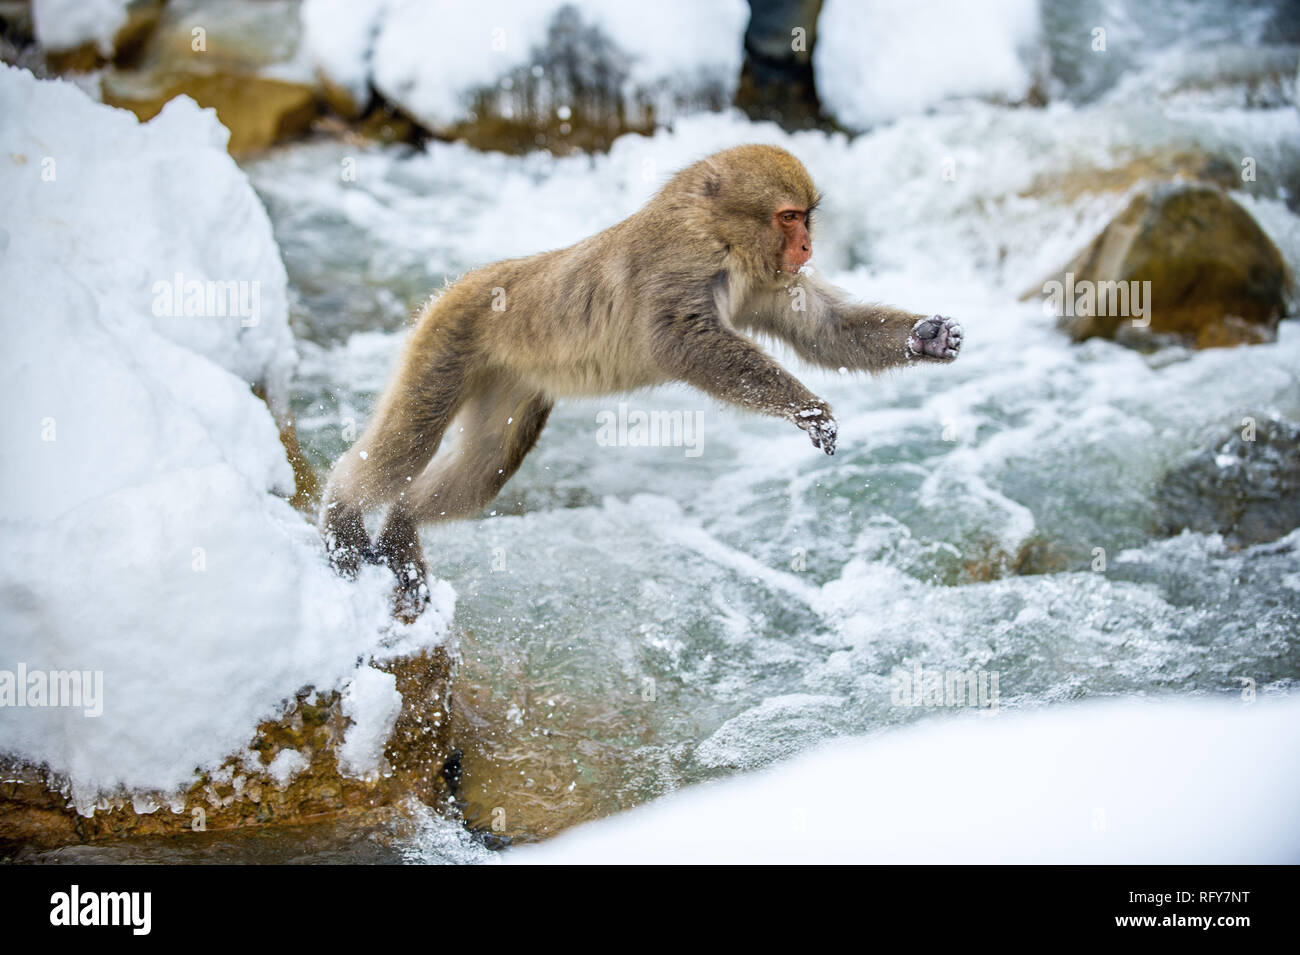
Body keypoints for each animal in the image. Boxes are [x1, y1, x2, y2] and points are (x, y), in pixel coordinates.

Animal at [319, 144, 962, 618]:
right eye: (789, 216)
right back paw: (342, 520)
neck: (719, 234)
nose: (807, 246)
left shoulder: (768, 279)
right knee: (408, 441)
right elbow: (678, 343)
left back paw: (401, 528)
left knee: (489, 464)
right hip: (447, 340)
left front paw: (928, 336)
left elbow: (825, 332)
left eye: (806, 218)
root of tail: (465, 281)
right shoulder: (682, 261)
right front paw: (808, 409)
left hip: (510, 381)